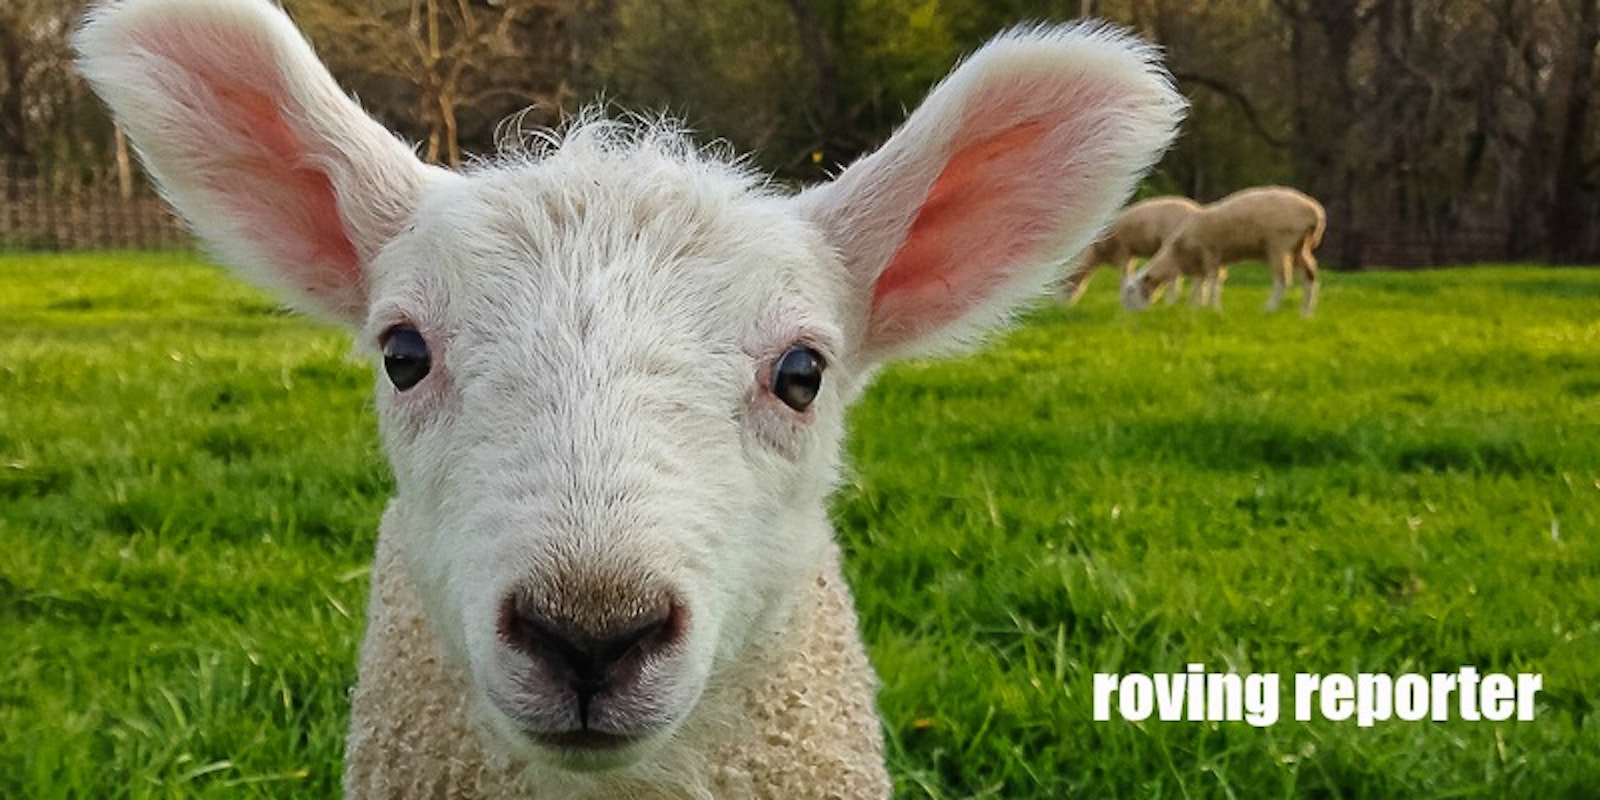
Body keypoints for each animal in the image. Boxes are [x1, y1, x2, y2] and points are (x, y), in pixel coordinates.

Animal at [1059, 195, 1201, 304]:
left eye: (1063, 288)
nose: (1060, 310)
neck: (1098, 254)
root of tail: (1196, 211)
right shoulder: (1131, 255)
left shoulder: (1123, 251)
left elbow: (1125, 276)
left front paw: (1123, 299)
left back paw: (1172, 302)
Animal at [1120, 186, 1326, 316]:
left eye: (1131, 291)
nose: (1128, 315)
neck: (1177, 255)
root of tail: (1314, 212)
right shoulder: (1203, 262)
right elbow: (1199, 285)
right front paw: (1194, 308)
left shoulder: (1210, 254)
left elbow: (1212, 283)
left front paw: (1212, 309)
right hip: (1299, 246)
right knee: (1310, 276)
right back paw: (1306, 313)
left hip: (1279, 244)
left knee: (1282, 280)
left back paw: (1269, 309)